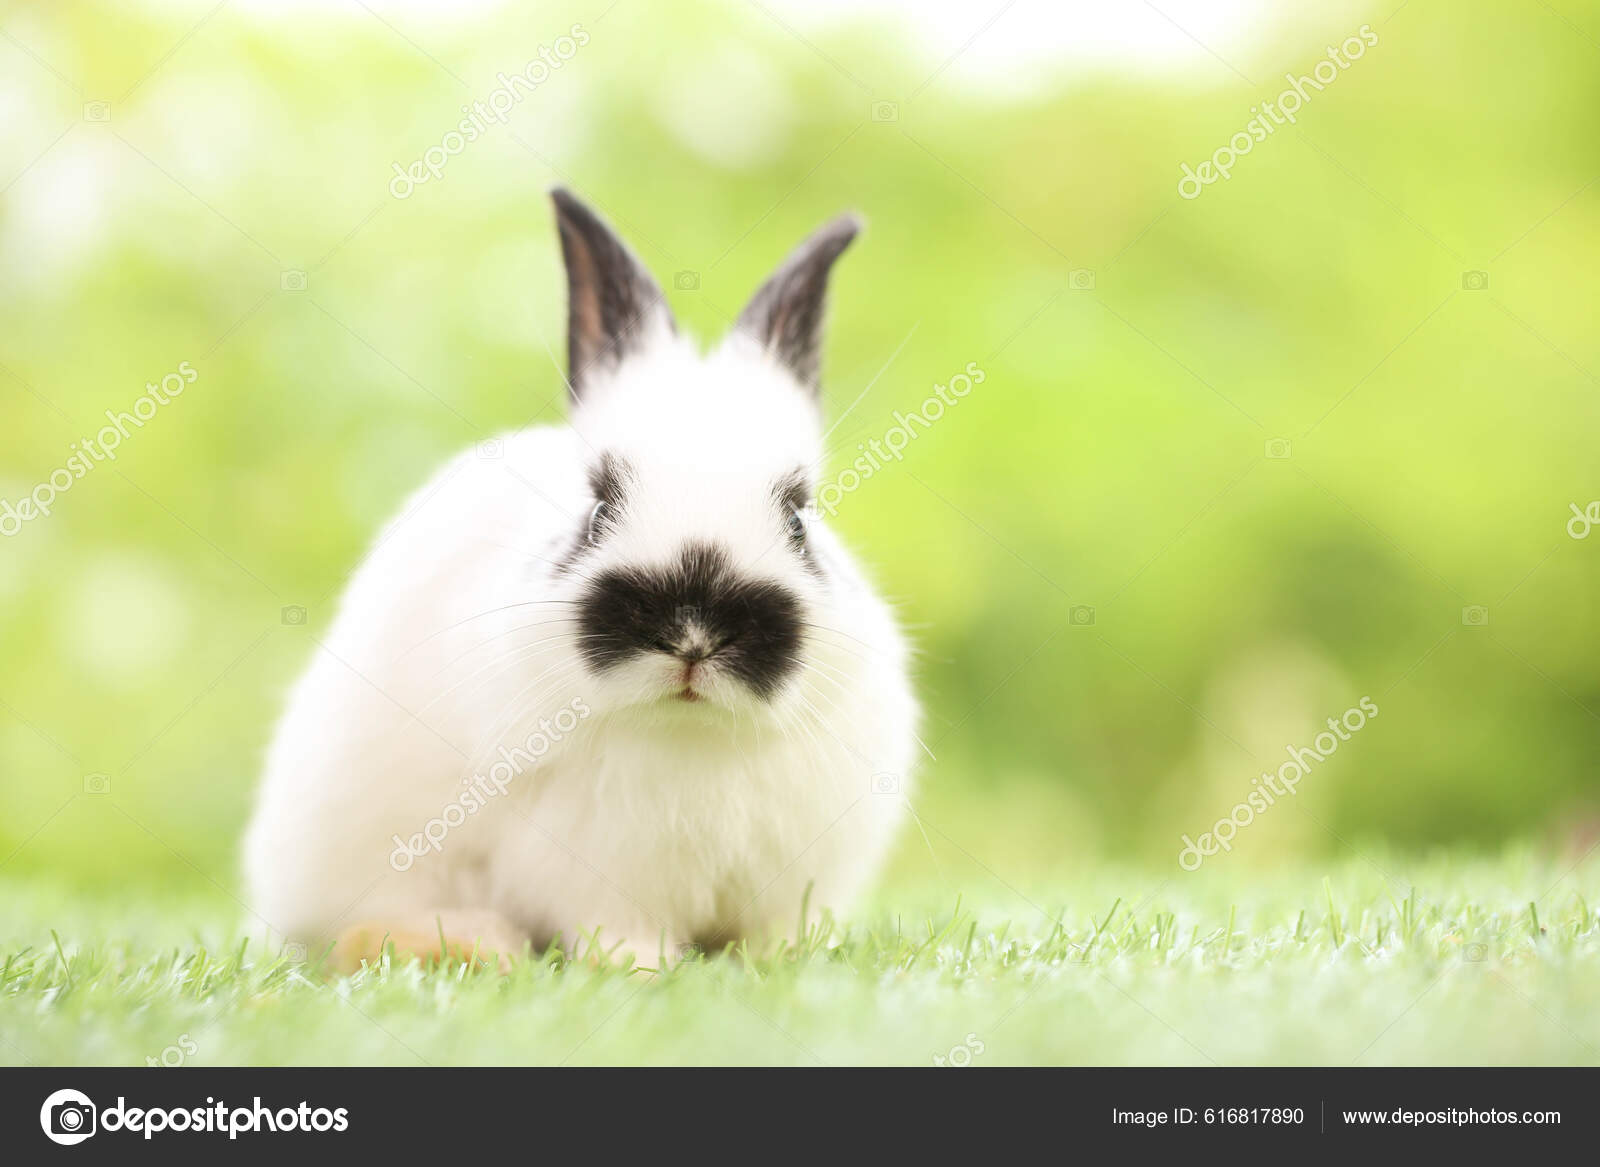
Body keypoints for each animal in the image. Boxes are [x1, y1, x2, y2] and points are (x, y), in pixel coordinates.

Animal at [243, 189, 918, 972]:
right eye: (597, 507)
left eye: (799, 517)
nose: (694, 632)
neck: (691, 735)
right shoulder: (594, 867)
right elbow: (618, 927)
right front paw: (641, 970)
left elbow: (779, 928)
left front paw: (790, 957)